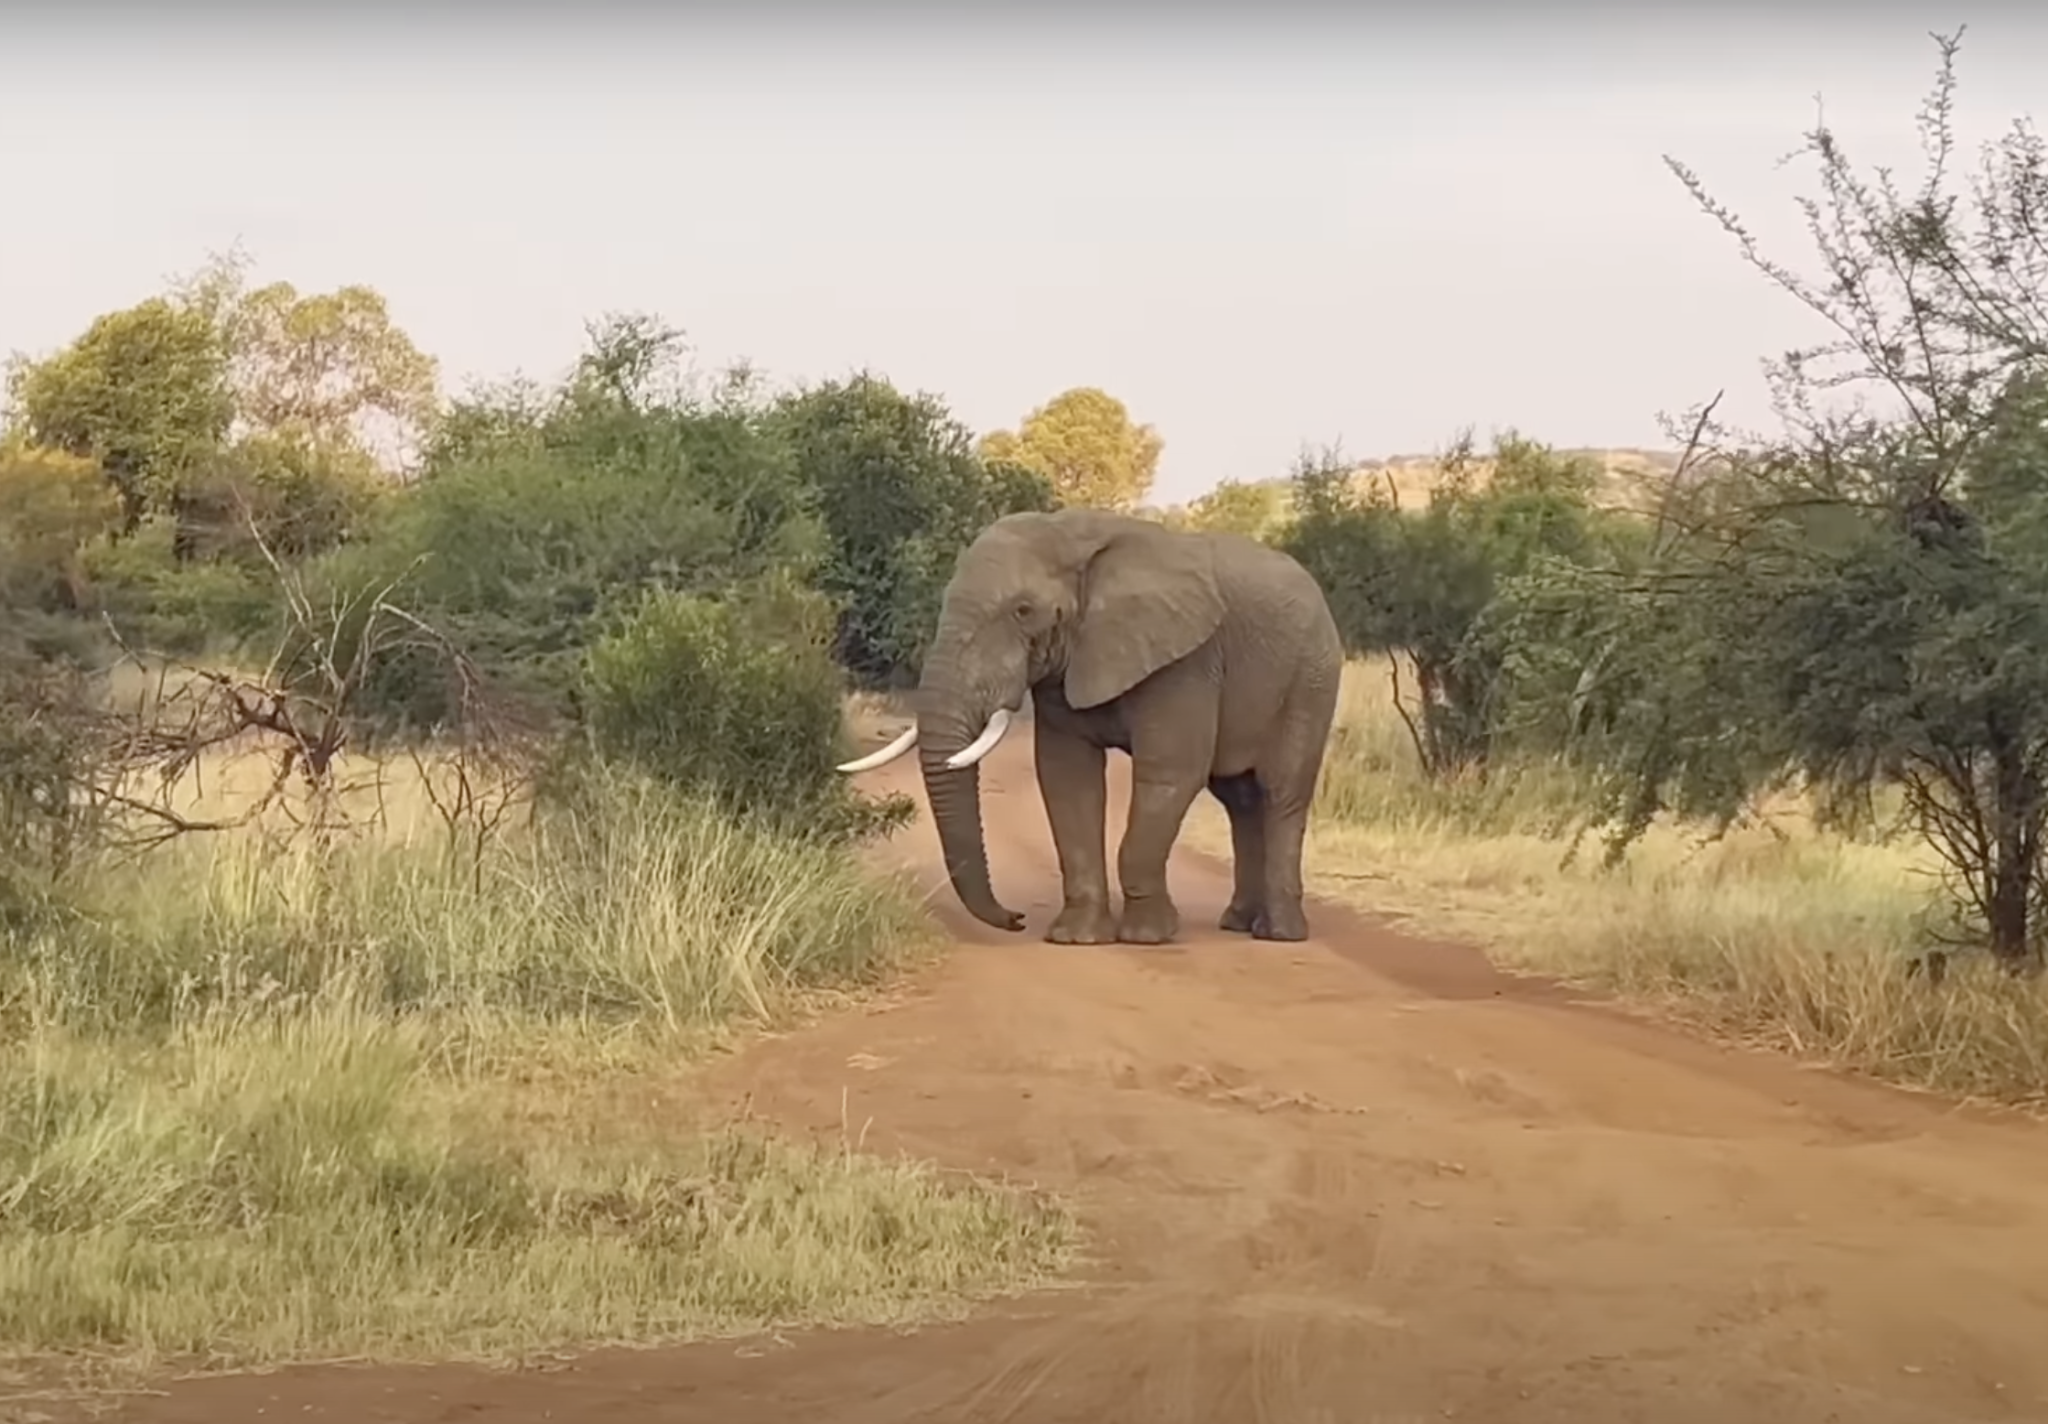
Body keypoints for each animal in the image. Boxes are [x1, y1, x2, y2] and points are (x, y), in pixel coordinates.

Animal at [836, 507, 1343, 945]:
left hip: (1311, 678)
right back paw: (1238, 923)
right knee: (1240, 800)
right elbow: (1067, 777)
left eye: (1023, 611)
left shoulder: (1188, 661)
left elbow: (1170, 772)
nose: (1016, 919)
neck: (1075, 538)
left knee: (1281, 794)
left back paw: (1279, 934)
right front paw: (1076, 938)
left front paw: (1147, 937)